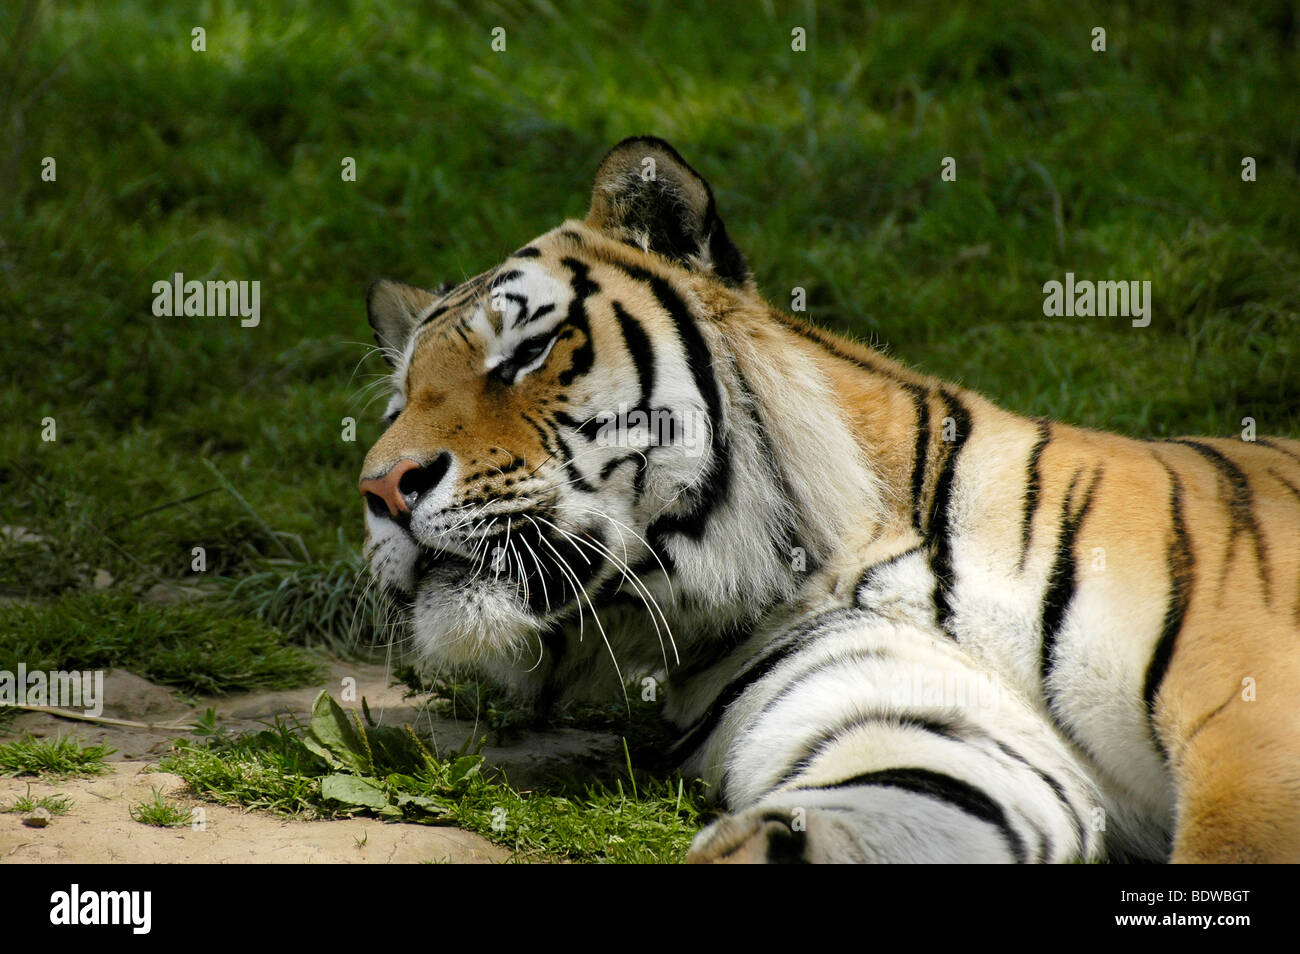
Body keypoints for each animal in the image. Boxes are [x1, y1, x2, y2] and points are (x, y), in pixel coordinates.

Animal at [358, 136, 1300, 863]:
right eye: (401, 398)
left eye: (526, 353)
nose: (380, 487)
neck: (836, 553)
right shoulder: (915, 713)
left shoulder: (1248, 720)